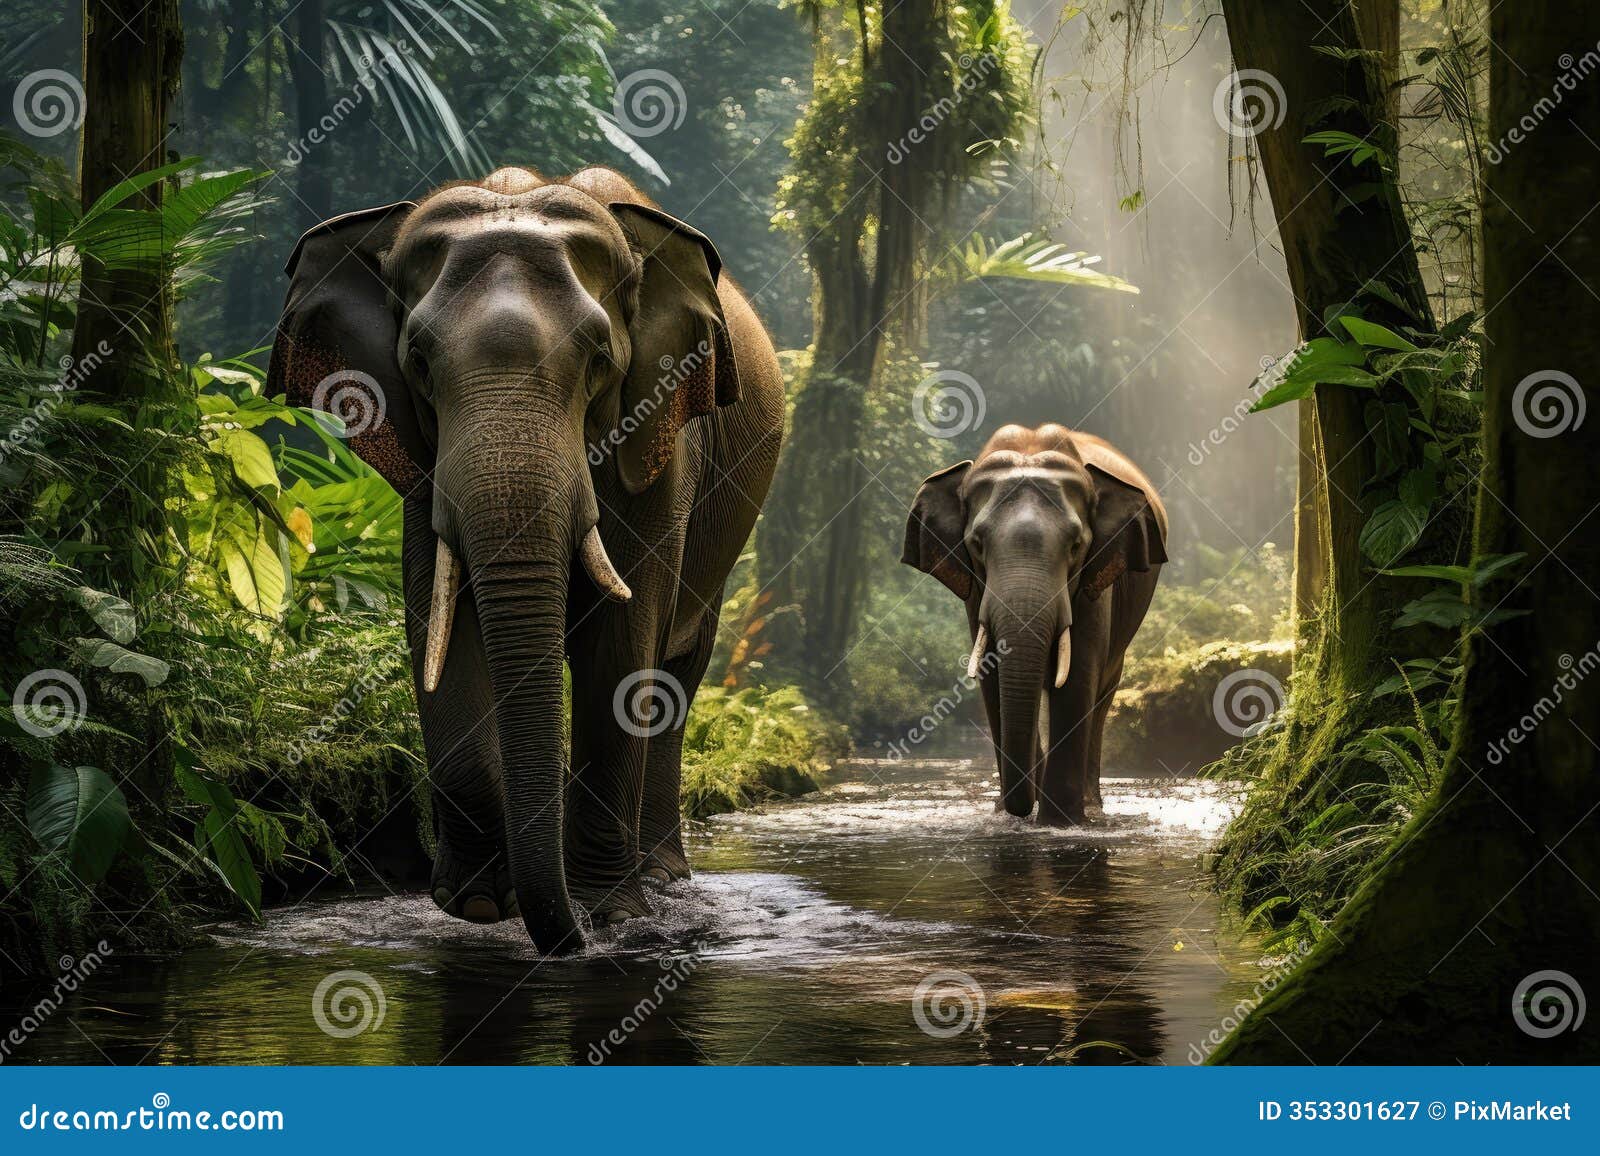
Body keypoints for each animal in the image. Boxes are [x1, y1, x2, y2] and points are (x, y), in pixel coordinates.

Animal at [265, 166, 784, 953]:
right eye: (418, 363)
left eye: (600, 360)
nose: (572, 940)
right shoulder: (425, 468)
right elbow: (441, 622)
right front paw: (480, 906)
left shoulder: (659, 445)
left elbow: (622, 642)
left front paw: (610, 915)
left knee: (679, 662)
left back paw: (663, 878)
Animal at [902, 423, 1167, 824]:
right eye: (976, 544)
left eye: (1075, 546)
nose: (1021, 807)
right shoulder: (975, 593)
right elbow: (992, 676)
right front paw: (1013, 816)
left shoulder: (1095, 585)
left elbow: (1077, 678)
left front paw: (1060, 822)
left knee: (1102, 695)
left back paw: (1090, 804)